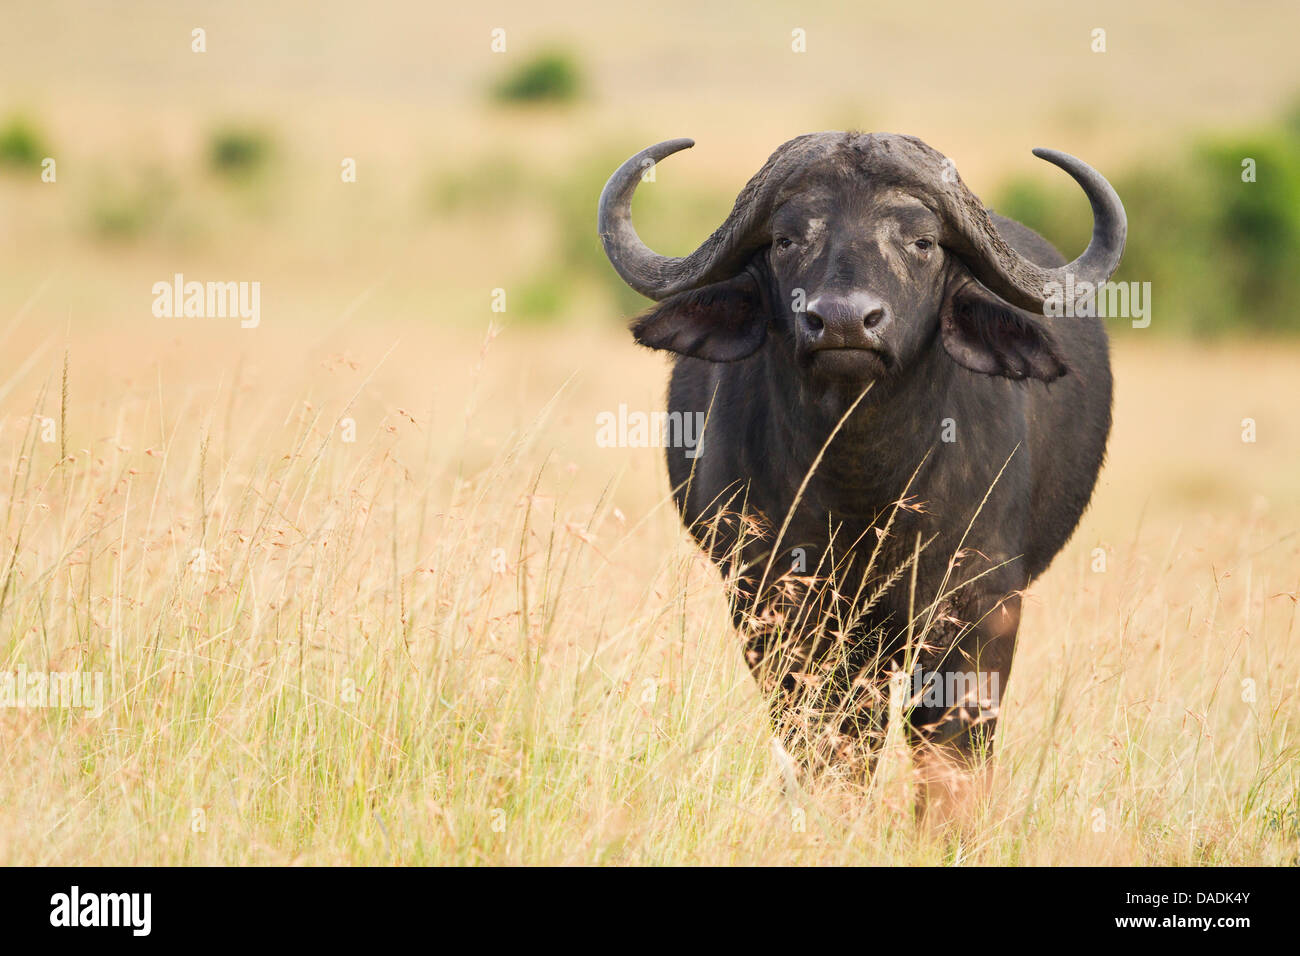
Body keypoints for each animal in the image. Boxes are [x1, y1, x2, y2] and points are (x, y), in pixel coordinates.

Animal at [597, 132, 1125, 824]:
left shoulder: (979, 606)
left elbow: (950, 744)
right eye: (786, 239)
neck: (862, 483)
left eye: (922, 242)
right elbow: (825, 737)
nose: (845, 322)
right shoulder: (771, 603)